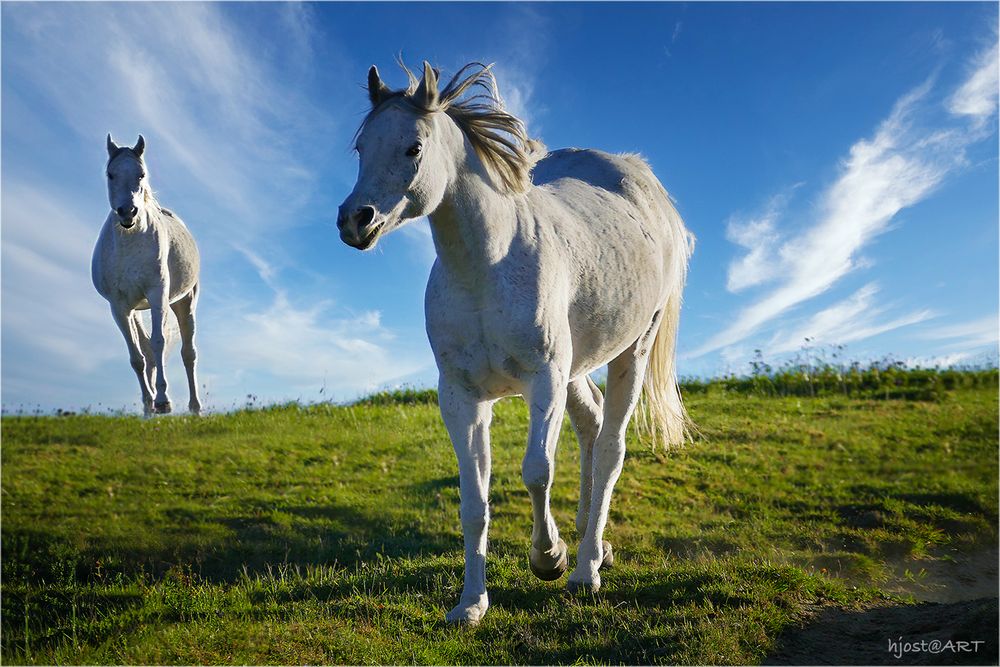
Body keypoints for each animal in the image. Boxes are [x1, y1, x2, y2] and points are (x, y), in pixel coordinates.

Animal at [92, 134, 202, 416]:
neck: (130, 241)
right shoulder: (119, 307)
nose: (127, 212)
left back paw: (195, 407)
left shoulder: (157, 295)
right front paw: (149, 402)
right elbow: (137, 356)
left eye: (141, 174)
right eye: (110, 174)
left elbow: (159, 343)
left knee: (188, 354)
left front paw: (162, 400)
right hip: (137, 310)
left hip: (184, 303)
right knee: (147, 352)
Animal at [337, 61, 694, 624]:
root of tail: (644, 183)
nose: (355, 219)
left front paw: (549, 556)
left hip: (629, 353)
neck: (487, 266)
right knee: (592, 424)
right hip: (576, 367)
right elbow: (474, 502)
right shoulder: (461, 397)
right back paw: (596, 545)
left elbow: (536, 473)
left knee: (610, 448)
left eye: (413, 147)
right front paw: (470, 604)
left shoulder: (543, 380)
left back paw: (585, 568)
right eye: (360, 148)